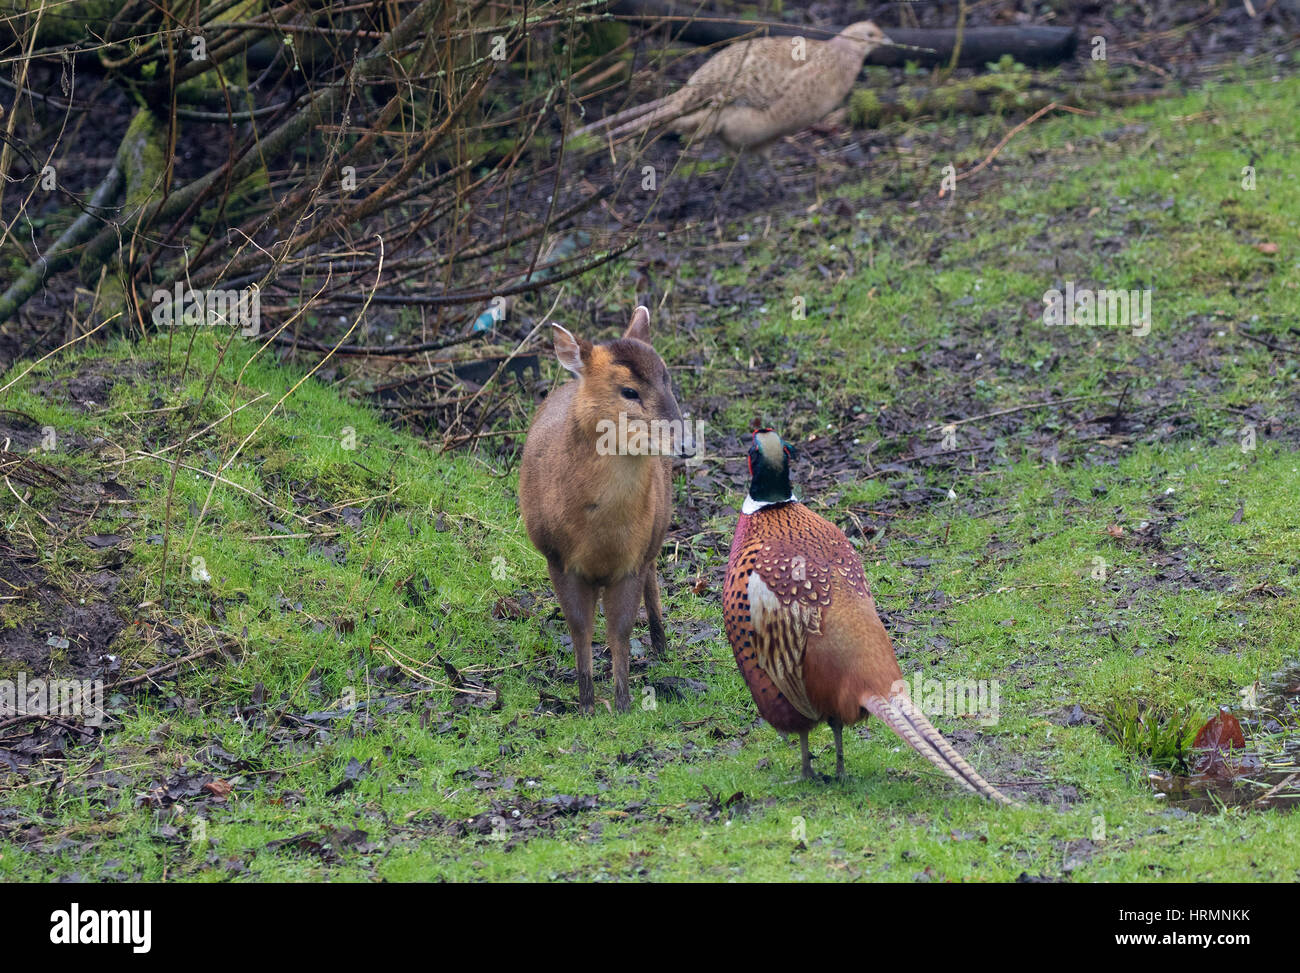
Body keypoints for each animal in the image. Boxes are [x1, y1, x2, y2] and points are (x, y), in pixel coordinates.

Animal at [518, 305, 691, 713]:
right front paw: (586, 703)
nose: (685, 443)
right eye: (628, 391)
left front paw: (623, 702)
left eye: (667, 379)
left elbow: (620, 630)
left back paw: (661, 645)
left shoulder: (631, 562)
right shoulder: (556, 557)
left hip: (657, 531)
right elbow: (580, 628)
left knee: (653, 580)